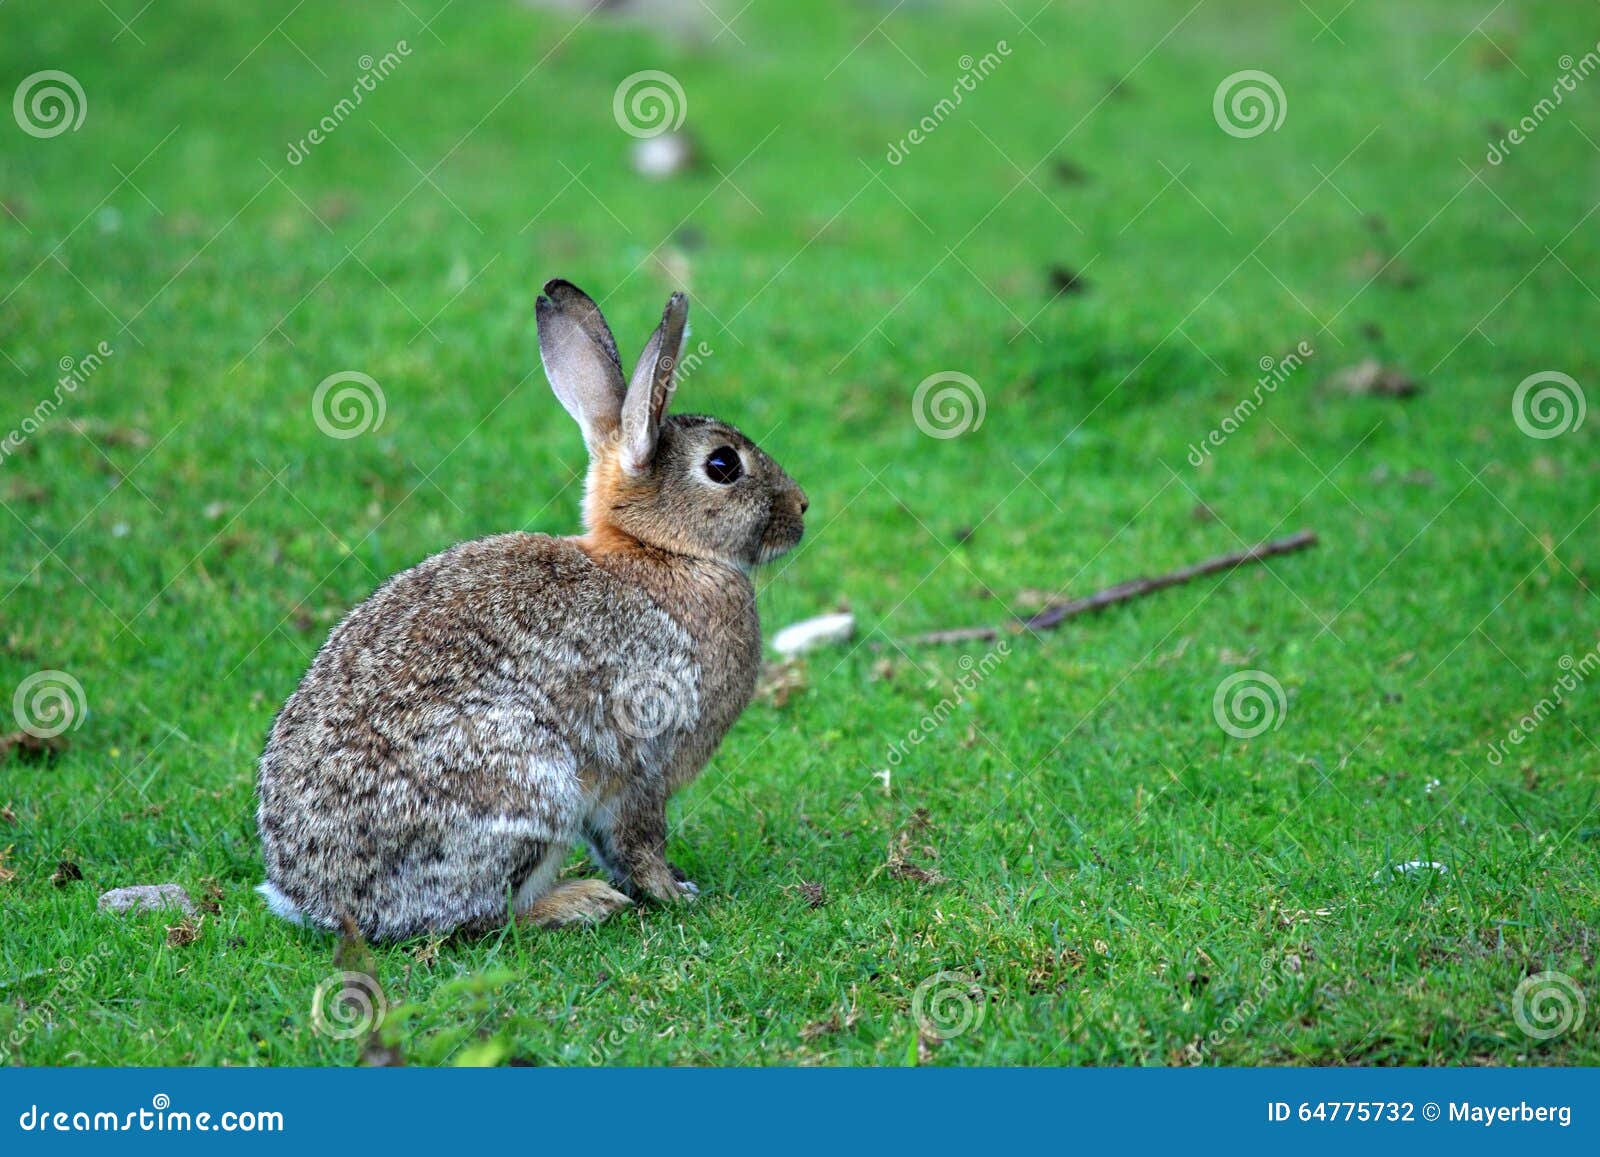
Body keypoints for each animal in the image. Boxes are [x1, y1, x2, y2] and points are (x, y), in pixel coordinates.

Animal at [256, 280, 808, 942]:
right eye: (723, 465)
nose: (802, 508)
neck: (659, 551)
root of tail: (313, 898)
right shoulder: (642, 764)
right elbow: (638, 842)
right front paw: (673, 894)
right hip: (524, 785)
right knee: (489, 917)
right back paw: (581, 901)